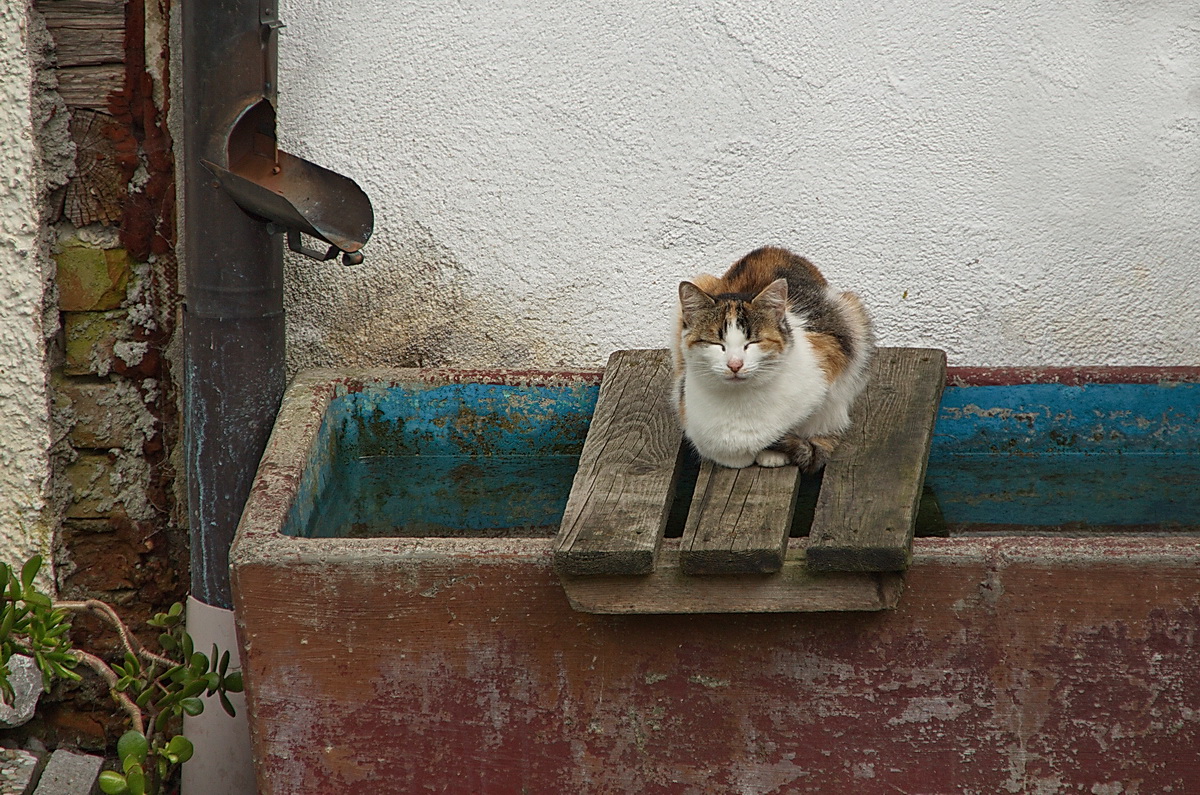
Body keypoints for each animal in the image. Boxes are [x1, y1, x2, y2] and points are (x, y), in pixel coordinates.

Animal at [672, 247, 878, 473]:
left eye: (753, 342)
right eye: (716, 344)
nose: (735, 365)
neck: (739, 401)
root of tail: (776, 249)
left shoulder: (832, 350)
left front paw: (773, 453)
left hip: (852, 317)